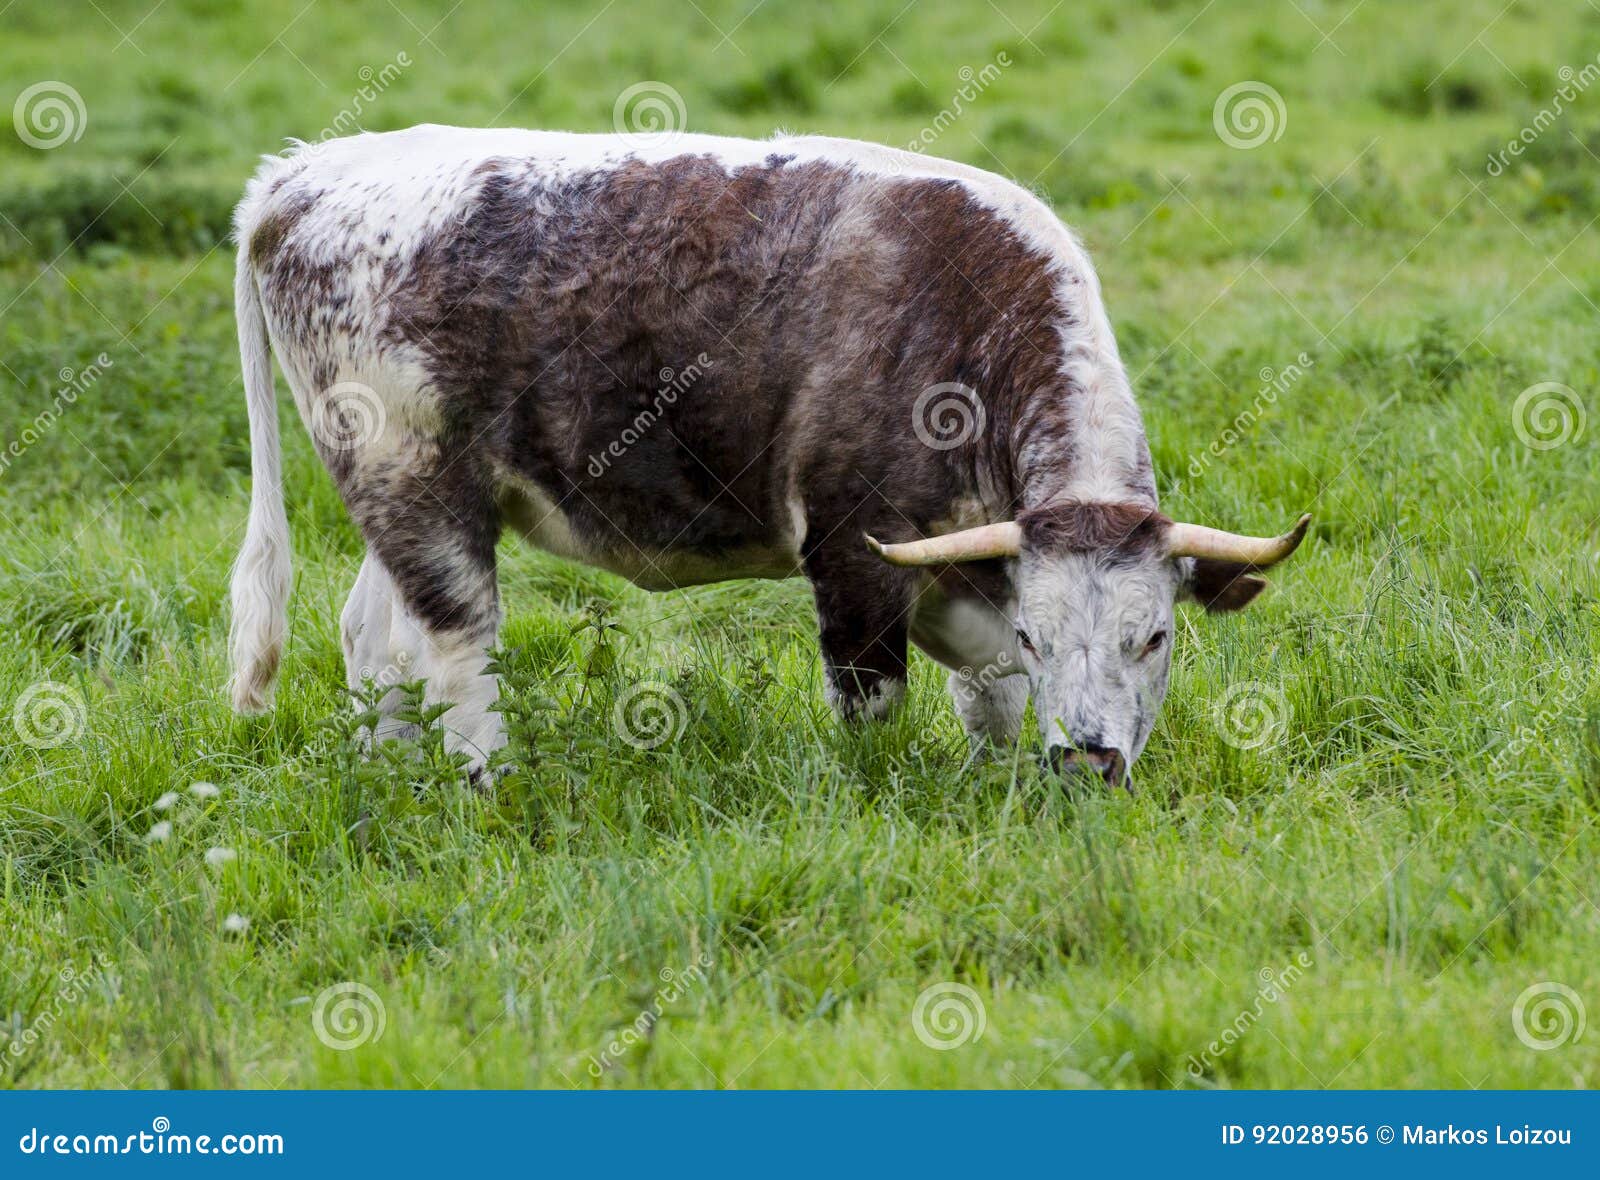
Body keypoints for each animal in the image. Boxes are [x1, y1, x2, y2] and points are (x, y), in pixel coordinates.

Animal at [227, 125, 1309, 786]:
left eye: (1153, 636)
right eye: (1048, 636)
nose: (1088, 760)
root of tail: (300, 173)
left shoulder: (963, 561)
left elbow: (990, 693)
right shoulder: (852, 552)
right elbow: (877, 702)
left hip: (405, 493)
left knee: (375, 637)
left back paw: (391, 774)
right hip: (417, 487)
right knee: (456, 652)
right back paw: (488, 785)